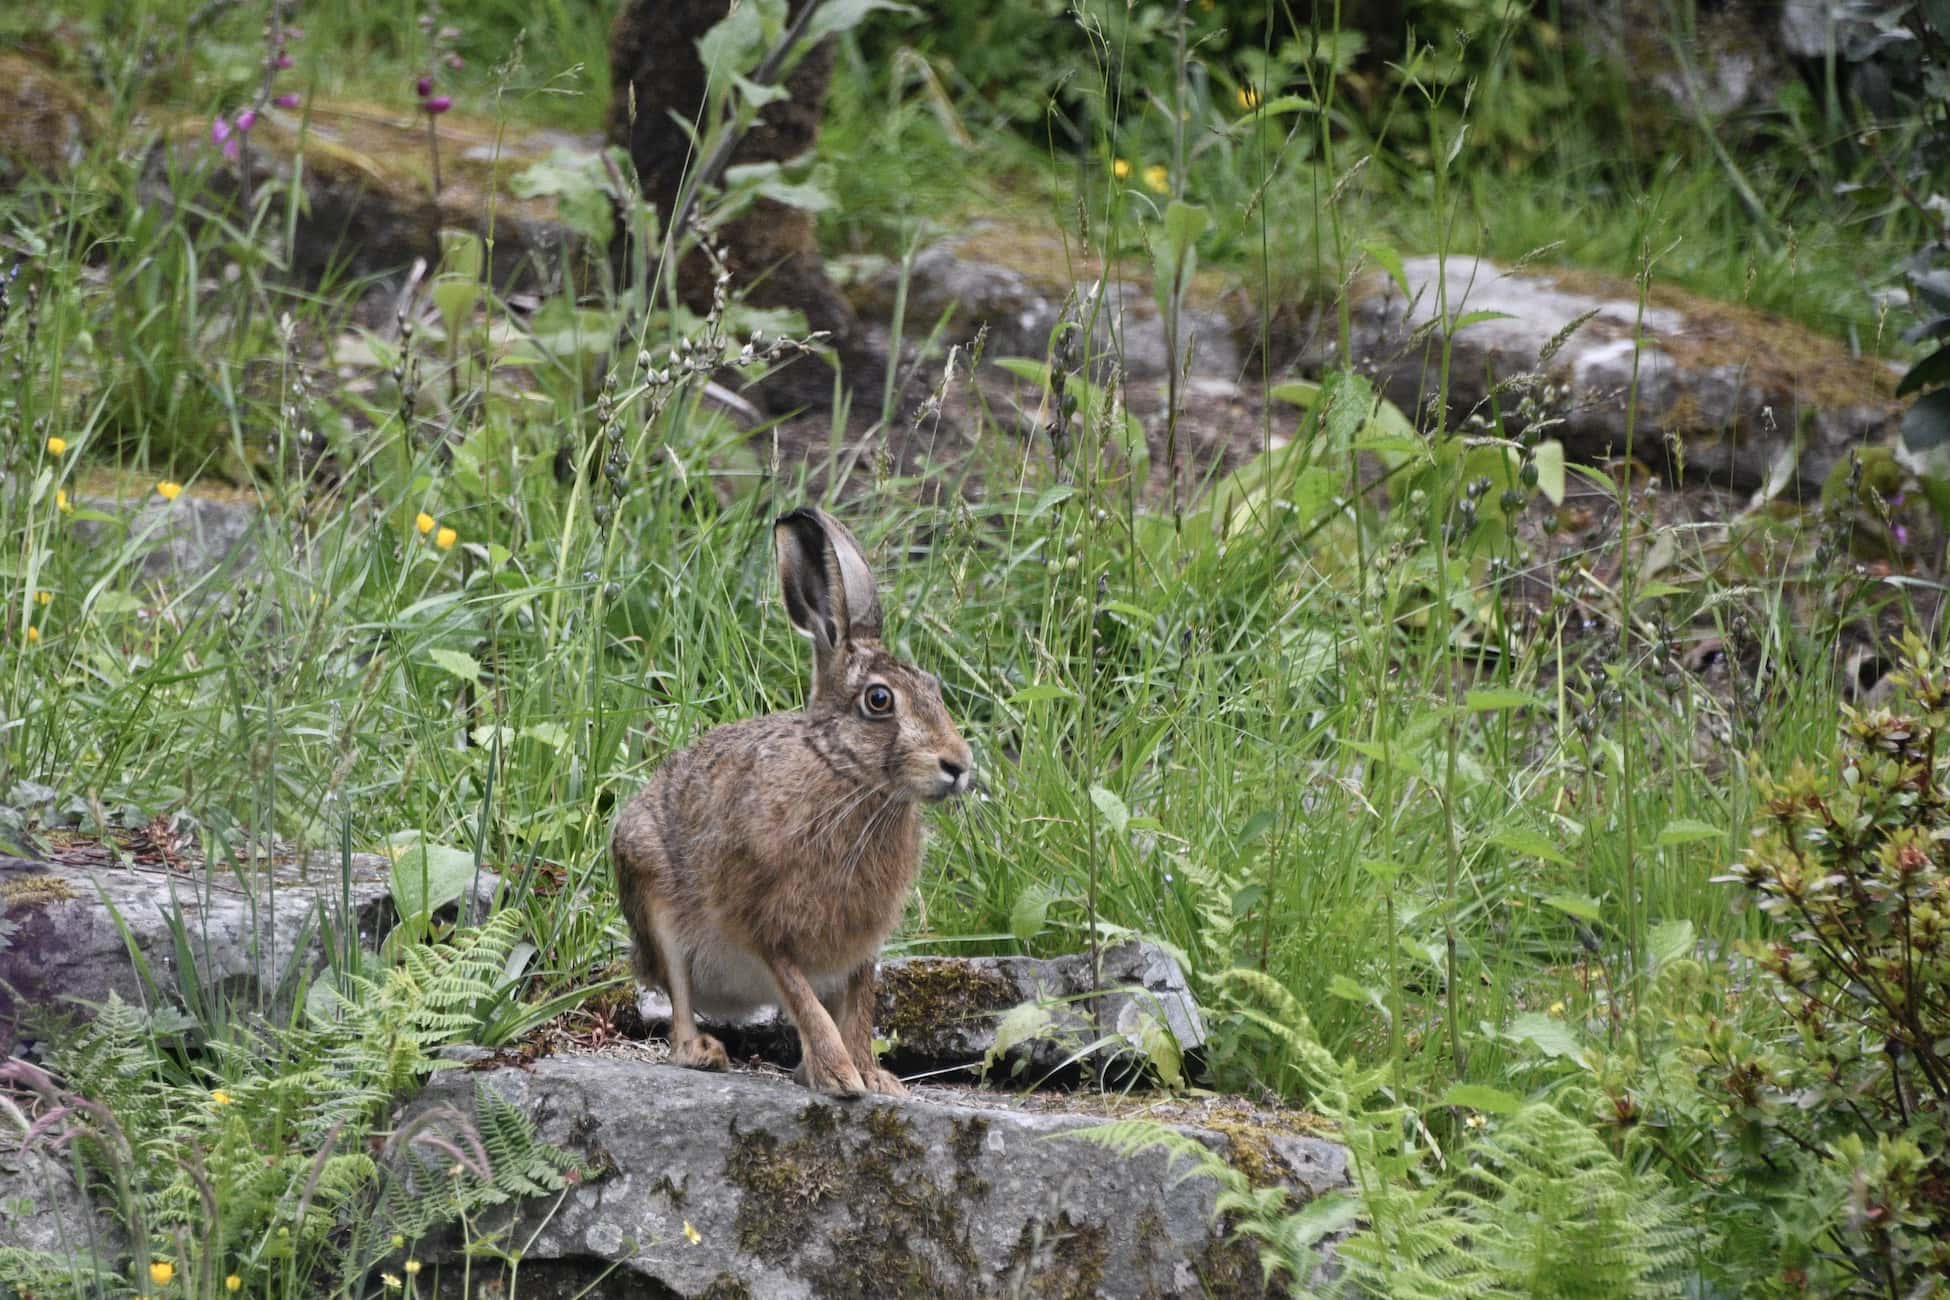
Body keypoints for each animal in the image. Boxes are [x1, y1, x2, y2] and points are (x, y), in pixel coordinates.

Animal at [611, 507, 974, 1097]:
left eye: (934, 687)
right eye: (879, 700)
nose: (959, 764)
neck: (845, 776)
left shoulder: (860, 949)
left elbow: (858, 1011)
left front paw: (875, 1079)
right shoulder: (768, 931)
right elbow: (806, 1003)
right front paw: (840, 1077)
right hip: (653, 897)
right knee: (680, 1002)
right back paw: (703, 1052)